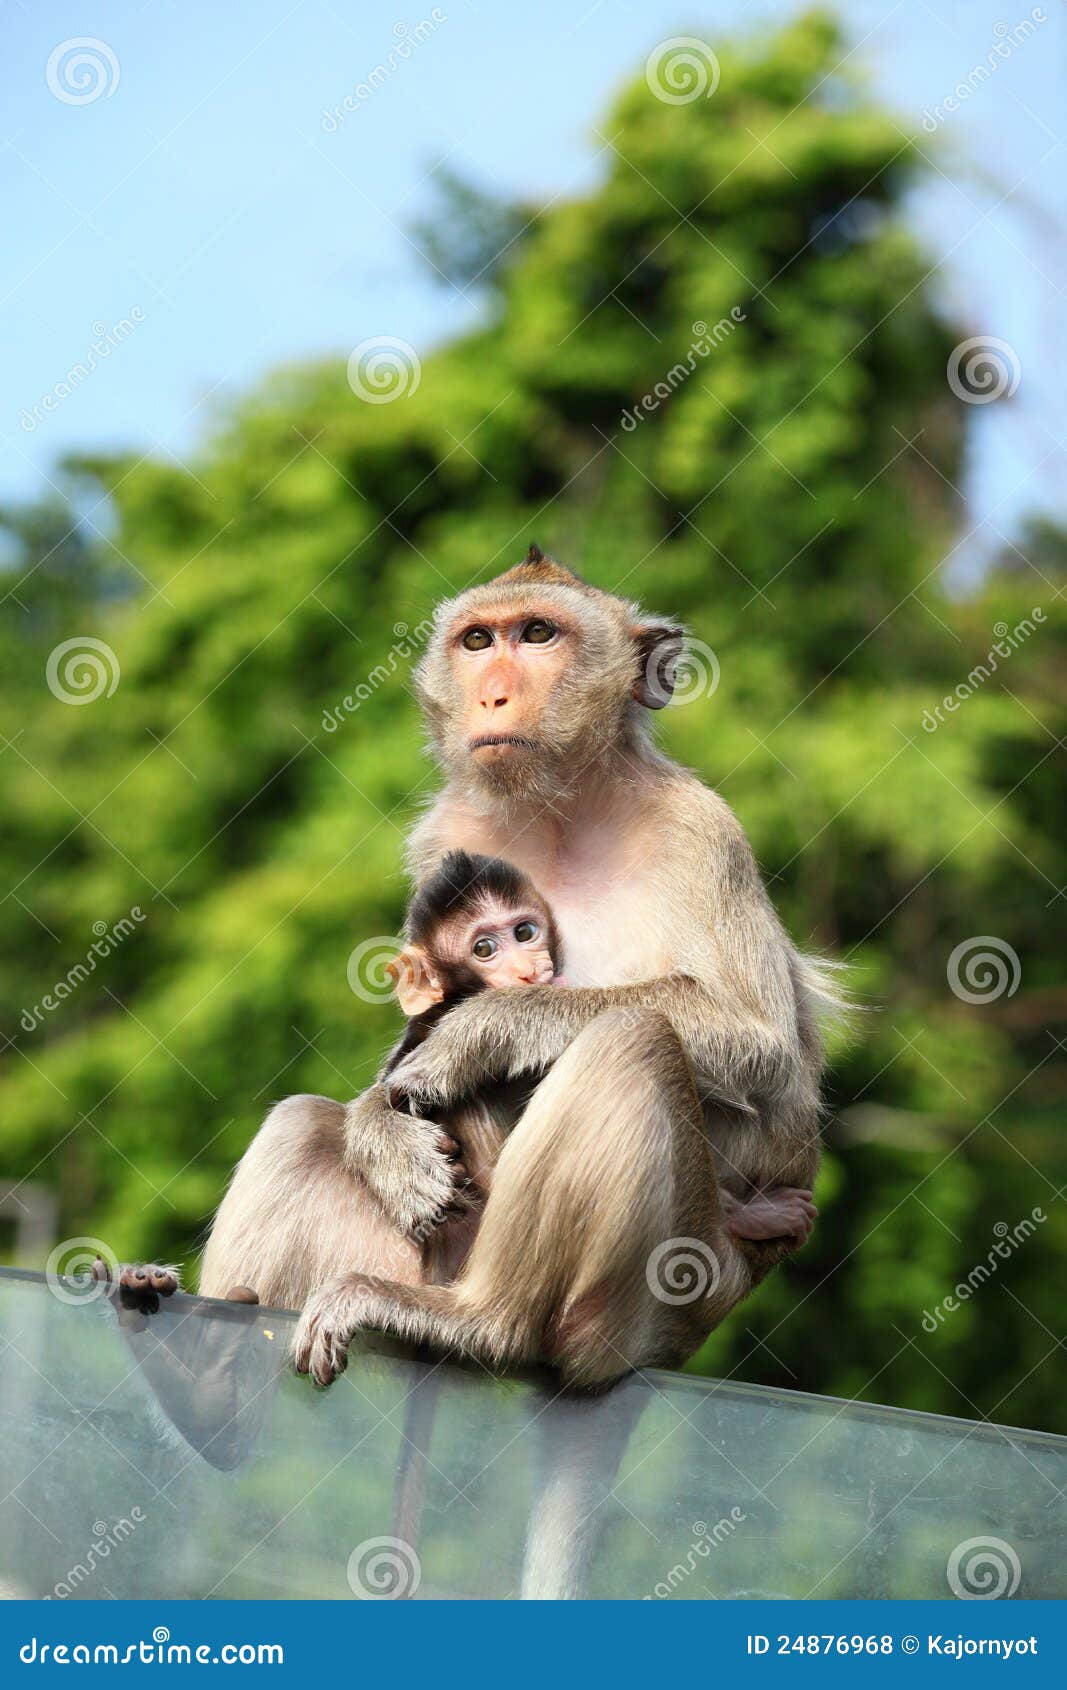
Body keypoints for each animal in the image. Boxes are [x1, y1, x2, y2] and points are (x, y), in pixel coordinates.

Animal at [188, 542, 835, 1399]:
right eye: (476, 641)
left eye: (536, 635)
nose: (493, 694)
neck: (562, 812)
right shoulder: (446, 832)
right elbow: (410, 1032)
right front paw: (382, 1135)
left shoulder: (702, 829)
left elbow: (765, 1050)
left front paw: (480, 1035)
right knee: (301, 1123)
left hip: (661, 1293)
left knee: (632, 1040)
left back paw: (485, 1322)